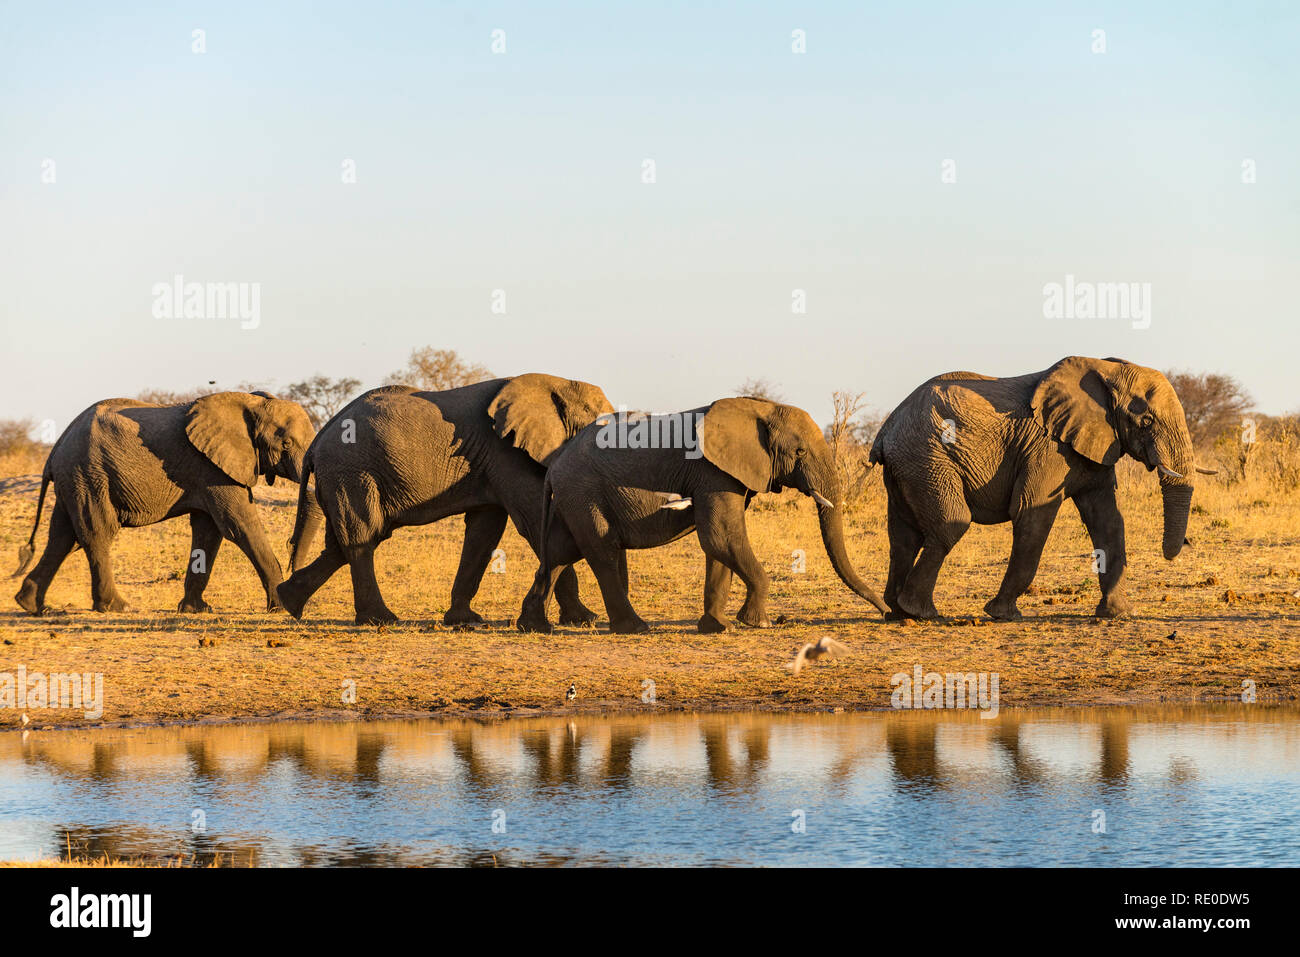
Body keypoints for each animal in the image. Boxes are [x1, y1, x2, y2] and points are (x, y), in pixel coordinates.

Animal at [12, 391, 319, 615]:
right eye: (286, 444)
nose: (291, 547)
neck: (252, 403)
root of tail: (55, 450)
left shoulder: (210, 471)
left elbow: (209, 532)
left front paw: (197, 610)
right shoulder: (212, 469)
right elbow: (239, 525)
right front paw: (280, 608)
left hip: (73, 479)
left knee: (62, 537)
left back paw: (32, 605)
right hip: (88, 474)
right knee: (97, 532)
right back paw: (117, 608)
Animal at [275, 373, 614, 626]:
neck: (555, 382)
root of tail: (319, 439)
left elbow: (485, 531)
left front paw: (465, 620)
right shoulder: (507, 453)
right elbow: (533, 523)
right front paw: (585, 620)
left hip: (343, 477)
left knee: (344, 542)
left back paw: (288, 601)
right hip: (352, 472)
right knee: (363, 535)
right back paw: (381, 620)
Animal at [516, 397, 889, 634]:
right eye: (799, 452)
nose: (887, 613)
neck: (759, 408)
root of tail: (556, 465)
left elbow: (718, 545)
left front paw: (718, 628)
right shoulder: (713, 471)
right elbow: (721, 536)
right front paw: (756, 623)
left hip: (573, 498)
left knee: (559, 554)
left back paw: (533, 627)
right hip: (585, 494)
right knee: (602, 553)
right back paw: (636, 628)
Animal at [868, 356, 1216, 621]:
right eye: (1146, 421)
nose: (1178, 548)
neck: (1105, 368)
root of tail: (885, 431)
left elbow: (1108, 520)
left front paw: (1119, 614)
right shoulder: (1046, 448)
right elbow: (1033, 513)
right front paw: (1003, 614)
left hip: (908, 467)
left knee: (903, 537)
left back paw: (896, 612)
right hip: (928, 457)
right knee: (950, 524)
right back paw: (922, 613)